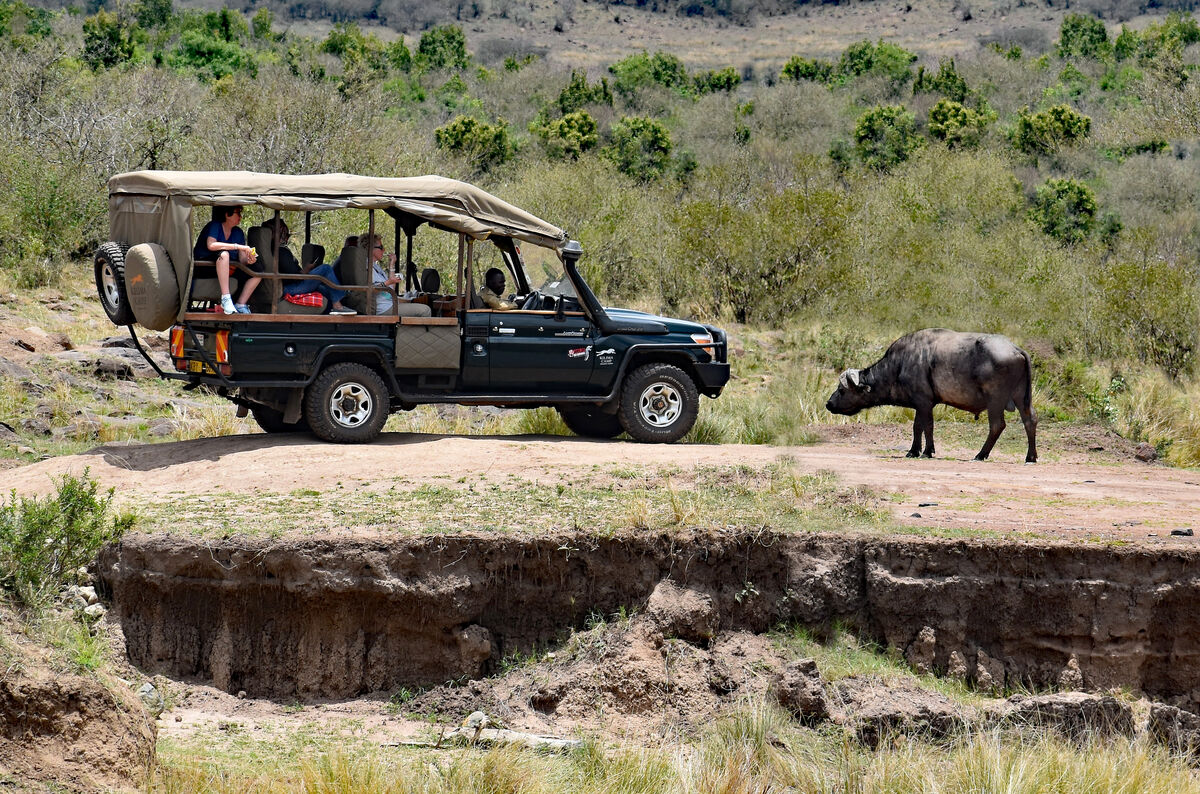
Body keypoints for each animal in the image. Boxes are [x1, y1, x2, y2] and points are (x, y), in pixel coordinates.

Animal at [825, 328, 1037, 463]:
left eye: (842, 390)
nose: (828, 404)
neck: (899, 364)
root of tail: (1015, 348)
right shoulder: (921, 405)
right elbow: (917, 426)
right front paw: (913, 450)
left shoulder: (924, 403)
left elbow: (927, 426)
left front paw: (927, 451)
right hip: (1021, 398)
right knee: (1030, 420)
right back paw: (1031, 456)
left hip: (995, 401)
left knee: (997, 425)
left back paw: (980, 454)